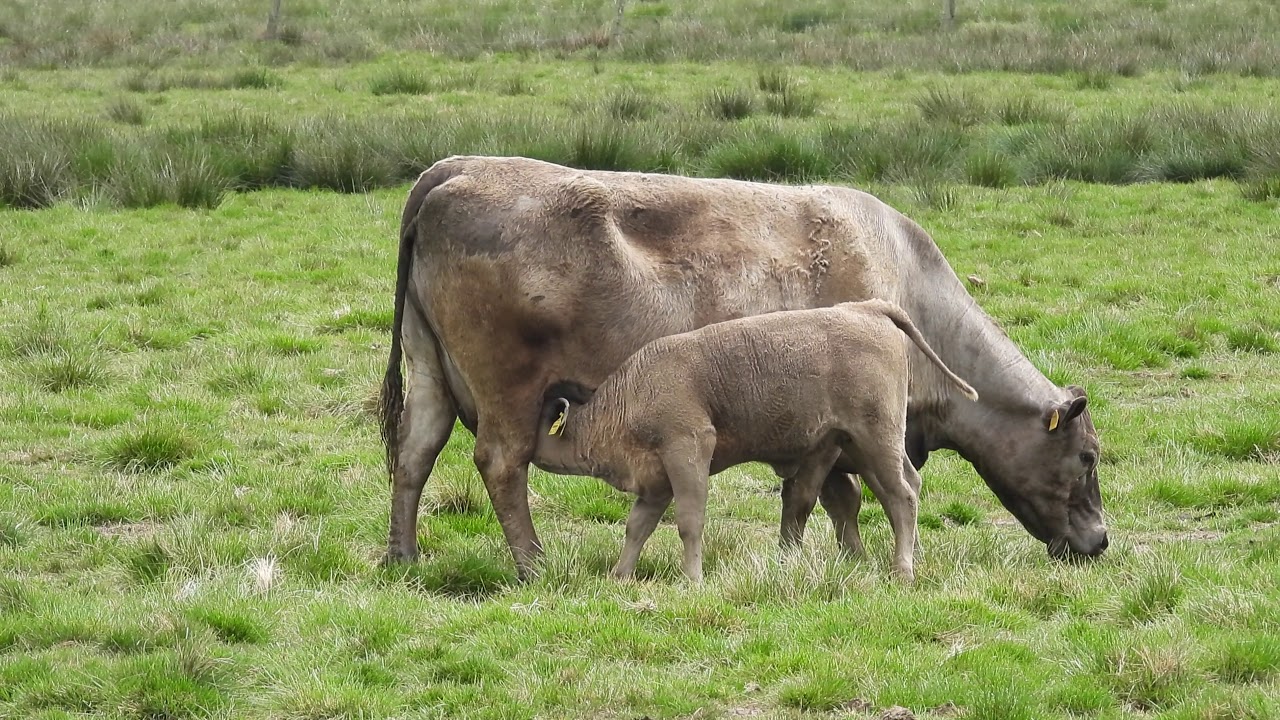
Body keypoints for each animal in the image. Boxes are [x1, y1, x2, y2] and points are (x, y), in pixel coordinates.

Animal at [531, 300, 980, 583]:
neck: (632, 392)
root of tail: (868, 308)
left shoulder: (688, 450)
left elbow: (689, 521)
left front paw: (692, 579)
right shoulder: (656, 480)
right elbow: (637, 526)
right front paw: (621, 576)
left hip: (876, 436)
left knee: (902, 496)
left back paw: (901, 571)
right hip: (858, 444)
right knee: (897, 490)